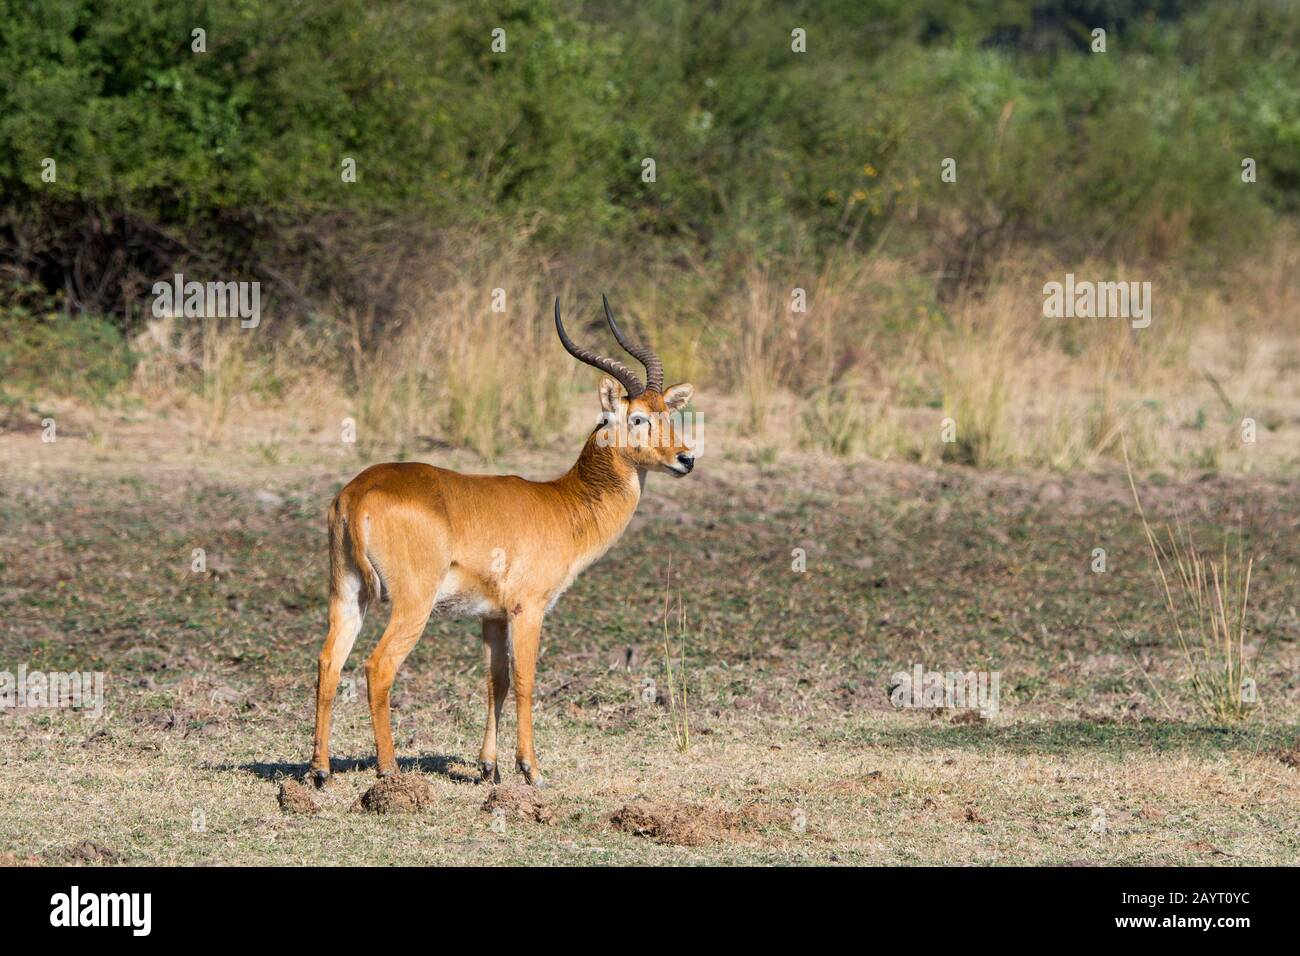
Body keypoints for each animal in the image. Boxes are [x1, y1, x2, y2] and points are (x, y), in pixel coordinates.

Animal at [308, 295, 698, 788]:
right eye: (639, 417)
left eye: (670, 412)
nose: (685, 458)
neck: (563, 504)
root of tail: (357, 494)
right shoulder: (527, 608)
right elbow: (526, 679)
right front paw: (531, 770)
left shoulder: (491, 616)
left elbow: (497, 681)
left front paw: (489, 766)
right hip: (412, 604)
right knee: (378, 667)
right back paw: (390, 769)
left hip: (347, 593)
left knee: (328, 662)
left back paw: (320, 771)